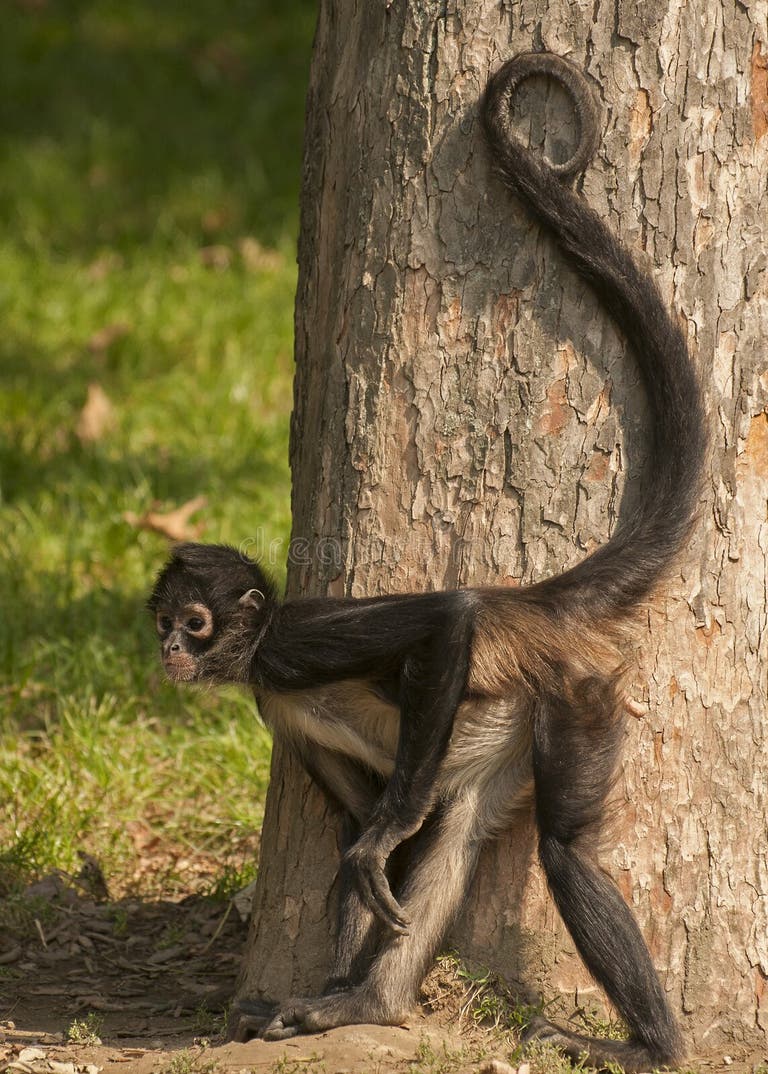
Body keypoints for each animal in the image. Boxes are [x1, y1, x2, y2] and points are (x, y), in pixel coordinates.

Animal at [148, 52, 706, 1072]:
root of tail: (530, 603)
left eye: (195, 625)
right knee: (457, 836)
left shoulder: (295, 645)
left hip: (572, 690)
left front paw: (380, 841)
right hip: (501, 745)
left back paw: (651, 1046)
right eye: (163, 623)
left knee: (562, 846)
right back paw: (361, 1004)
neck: (260, 663)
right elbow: (359, 838)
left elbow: (440, 627)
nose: (171, 651)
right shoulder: (273, 703)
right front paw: (334, 975)